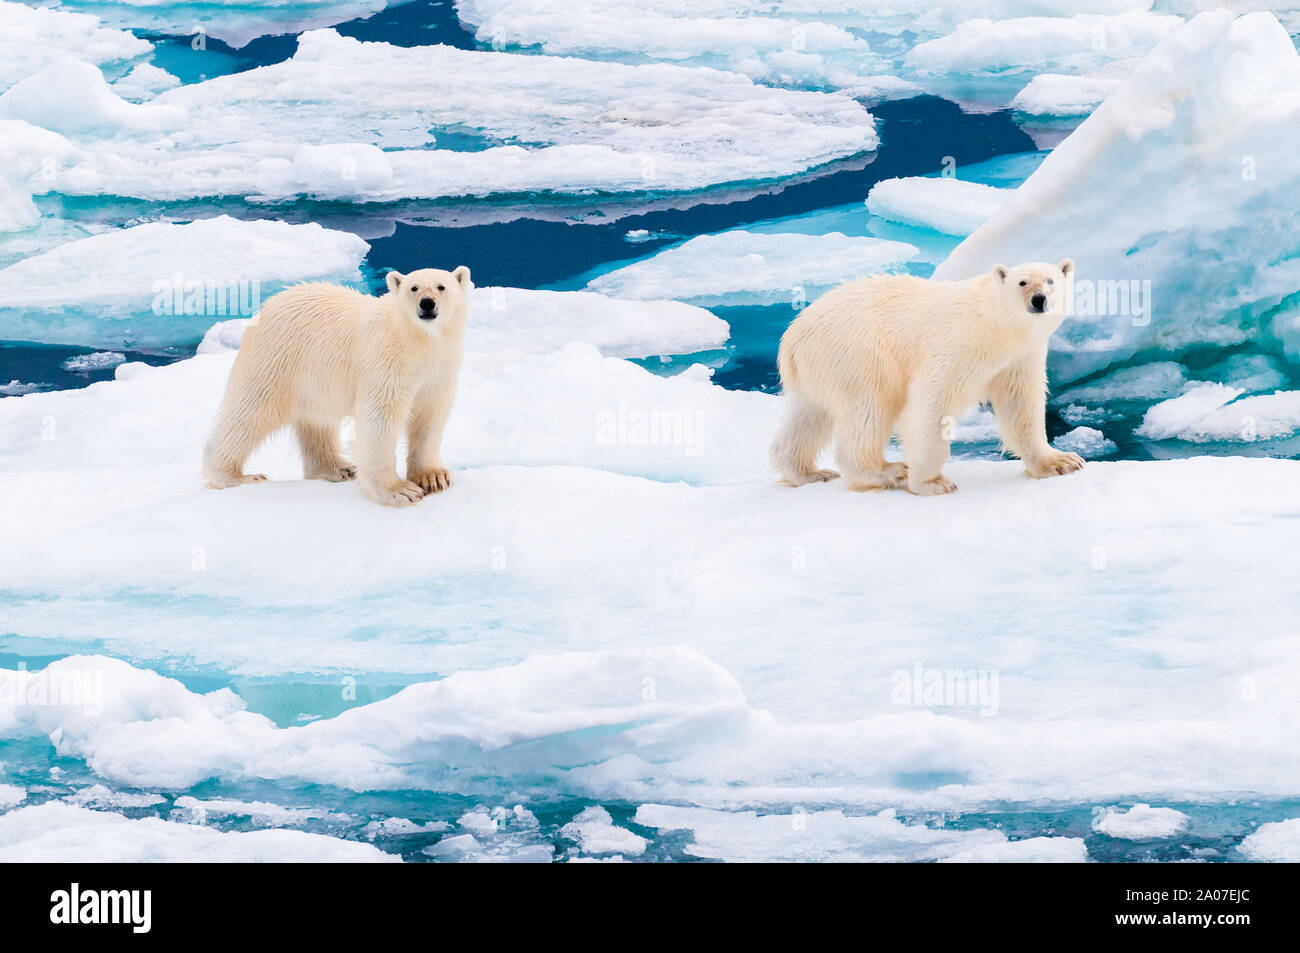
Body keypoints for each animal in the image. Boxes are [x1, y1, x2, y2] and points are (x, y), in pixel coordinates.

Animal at [202, 266, 471, 506]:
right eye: (413, 288)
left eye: (441, 286)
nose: (427, 304)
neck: (417, 341)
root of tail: (268, 306)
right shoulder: (386, 360)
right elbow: (380, 417)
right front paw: (399, 491)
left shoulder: (439, 369)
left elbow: (430, 414)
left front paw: (433, 477)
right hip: (275, 359)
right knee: (250, 412)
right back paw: (236, 476)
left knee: (315, 421)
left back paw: (338, 468)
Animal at [769, 260, 1083, 495]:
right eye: (1022, 282)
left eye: (1051, 280)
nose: (1039, 300)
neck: (995, 325)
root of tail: (792, 336)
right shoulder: (960, 343)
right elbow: (931, 398)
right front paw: (931, 481)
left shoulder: (1019, 357)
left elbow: (1021, 403)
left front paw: (1061, 461)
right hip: (859, 352)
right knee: (869, 409)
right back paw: (888, 470)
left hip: (818, 369)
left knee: (809, 415)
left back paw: (808, 472)